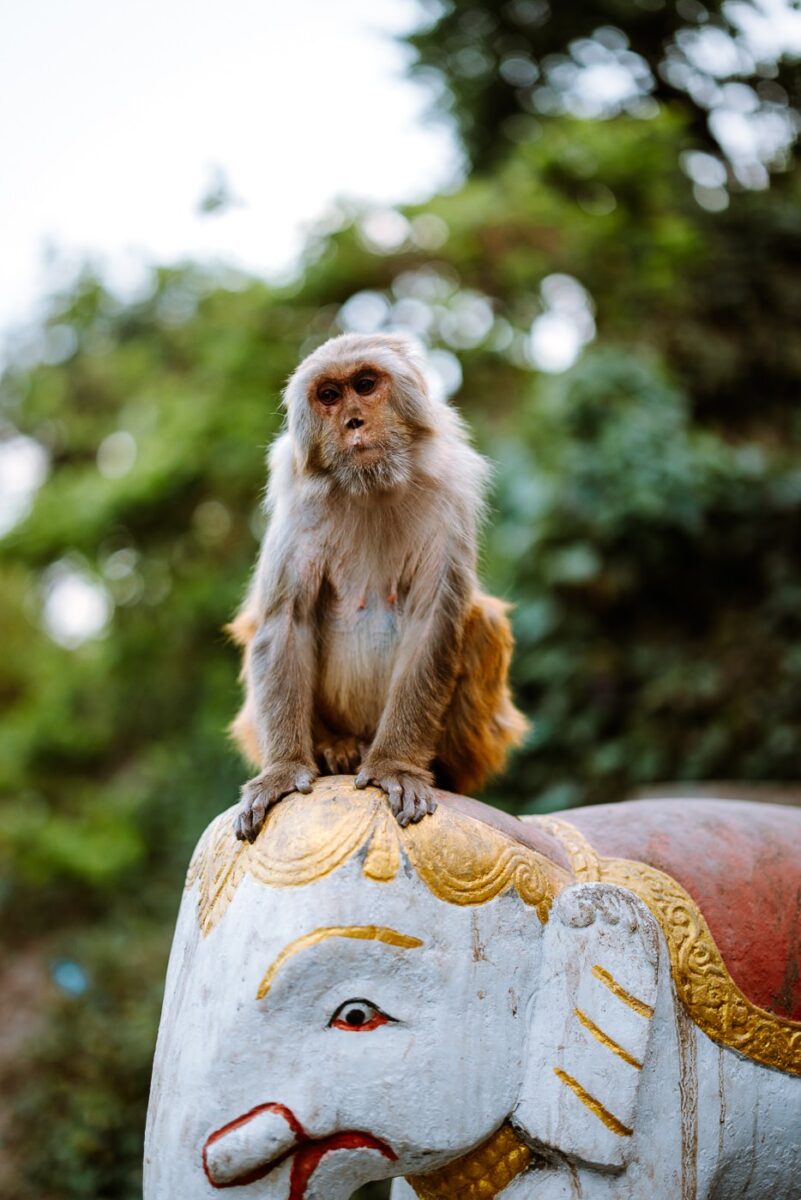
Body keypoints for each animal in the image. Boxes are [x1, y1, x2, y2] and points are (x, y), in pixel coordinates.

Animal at [229, 332, 528, 842]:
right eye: (329, 395)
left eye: (365, 385)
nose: (353, 421)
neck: (369, 487)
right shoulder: (299, 503)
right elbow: (285, 621)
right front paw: (283, 770)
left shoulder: (449, 497)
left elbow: (434, 621)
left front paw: (395, 767)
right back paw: (335, 748)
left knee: (483, 622)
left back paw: (436, 771)